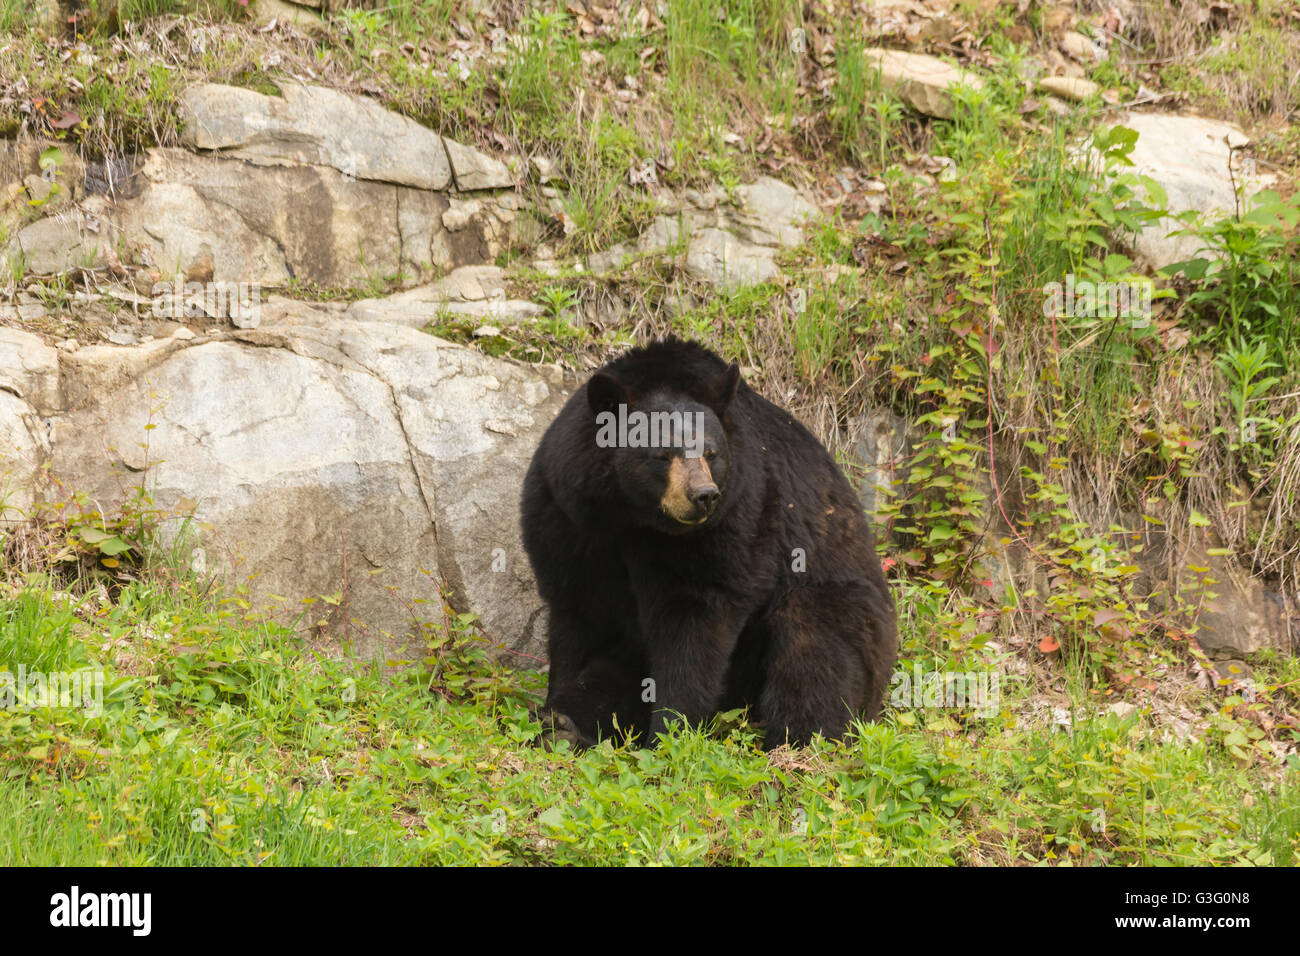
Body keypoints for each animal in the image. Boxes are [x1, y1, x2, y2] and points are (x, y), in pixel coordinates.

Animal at [520, 337, 896, 751]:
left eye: (711, 452)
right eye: (663, 453)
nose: (704, 495)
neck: (633, 518)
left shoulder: (735, 518)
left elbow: (697, 621)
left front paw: (669, 733)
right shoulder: (568, 517)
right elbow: (577, 612)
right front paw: (558, 706)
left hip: (847, 612)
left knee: (815, 648)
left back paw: (796, 742)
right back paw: (563, 724)